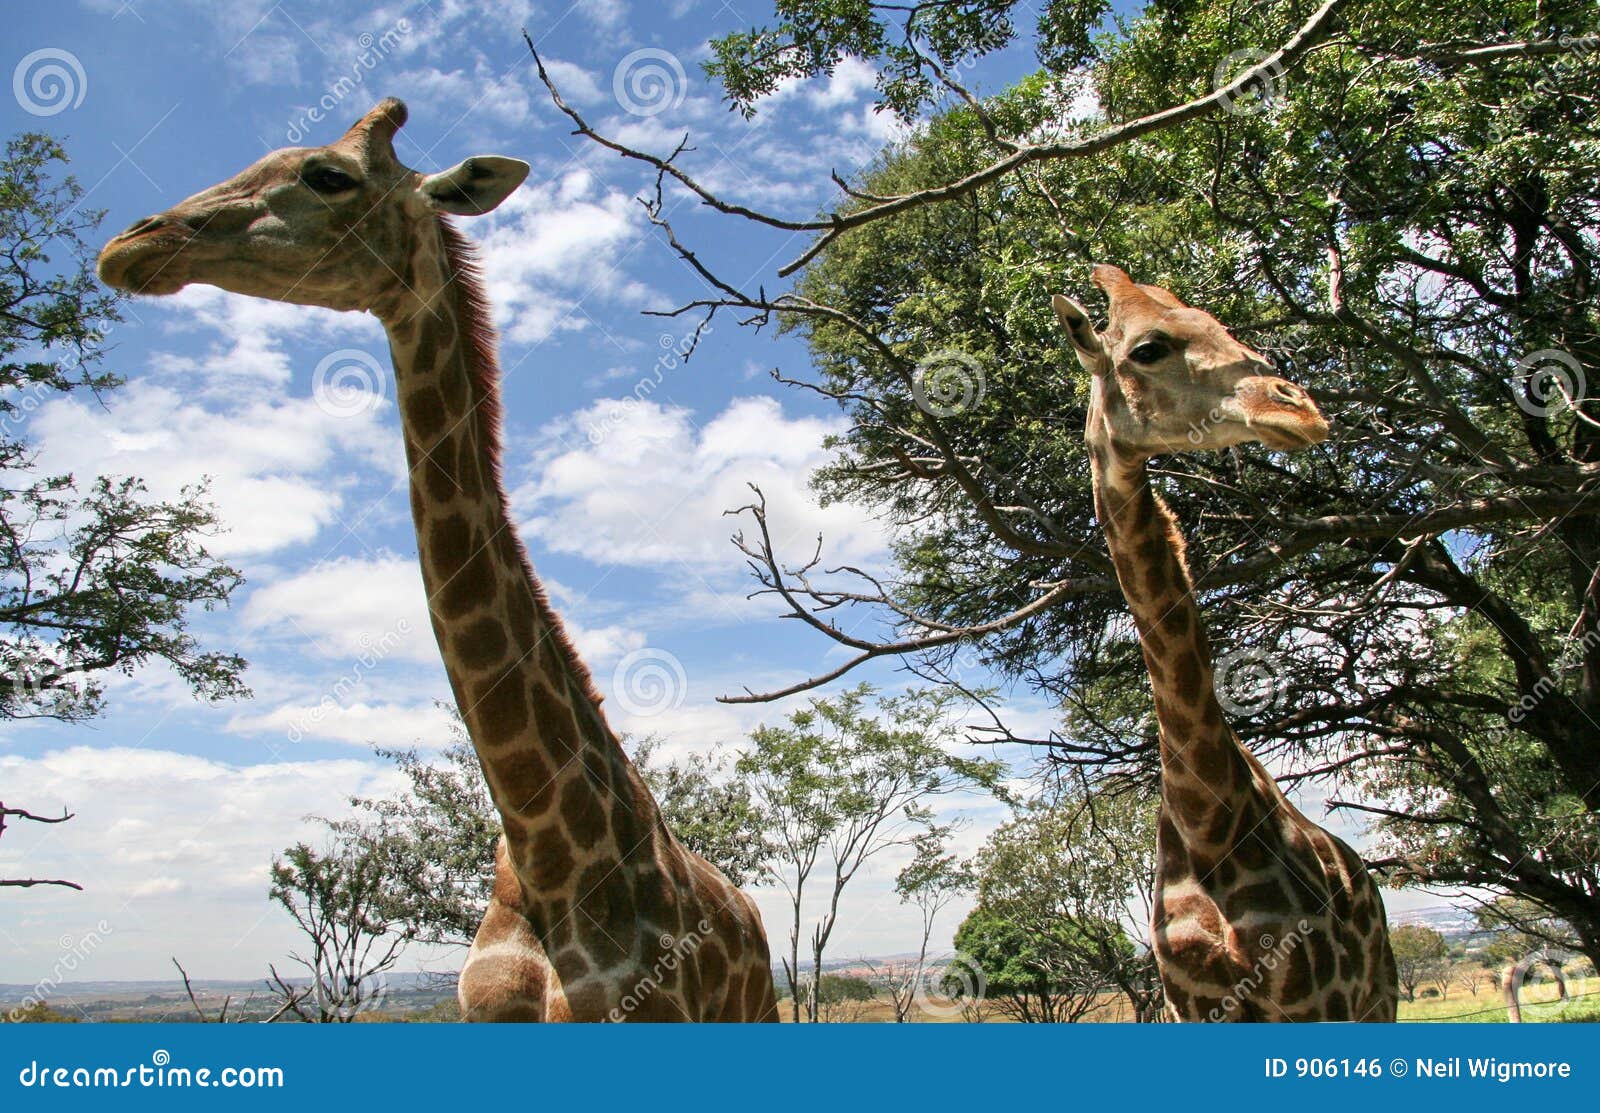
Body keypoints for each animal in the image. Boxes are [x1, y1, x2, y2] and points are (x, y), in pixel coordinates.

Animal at [1052, 265, 1398, 1022]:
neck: (1205, 818)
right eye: (1149, 348)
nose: (1299, 409)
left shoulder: (1317, 1000)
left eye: (1217, 321)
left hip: (1380, 997)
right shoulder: (1191, 1004)